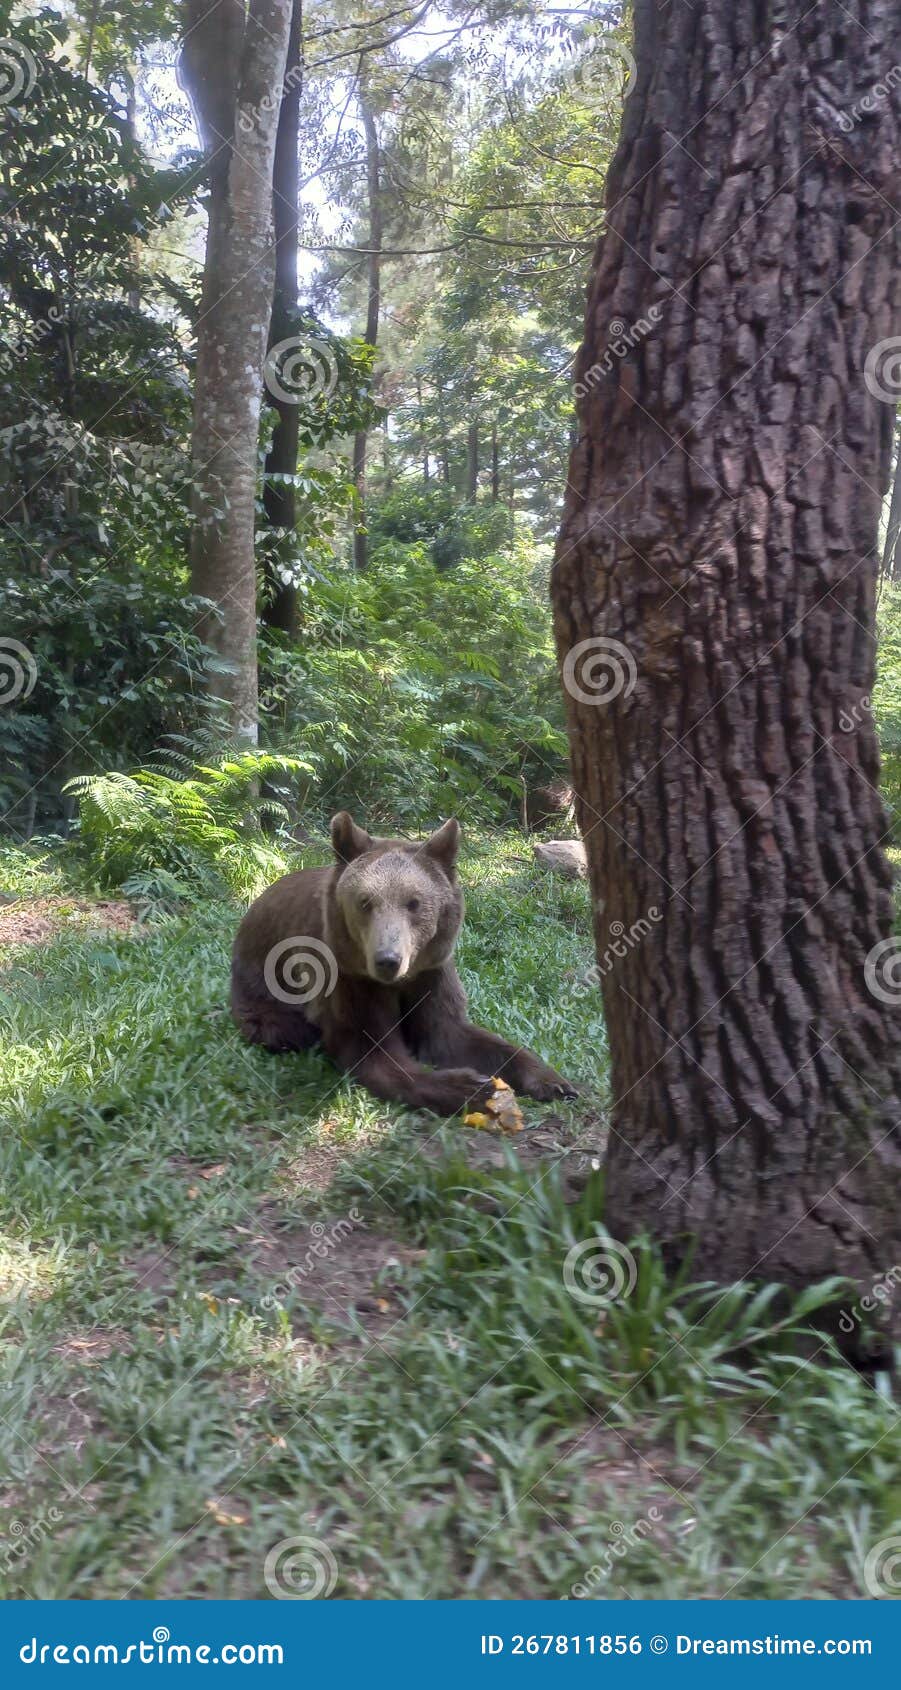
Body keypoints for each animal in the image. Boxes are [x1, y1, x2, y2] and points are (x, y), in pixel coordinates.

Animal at [231, 810, 578, 1115]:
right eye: (365, 902)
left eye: (414, 903)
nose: (388, 960)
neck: (401, 980)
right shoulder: (351, 979)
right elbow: (376, 1051)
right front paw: (471, 1087)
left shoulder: (431, 974)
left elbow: (453, 1033)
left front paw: (554, 1082)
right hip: (261, 988)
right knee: (279, 1027)